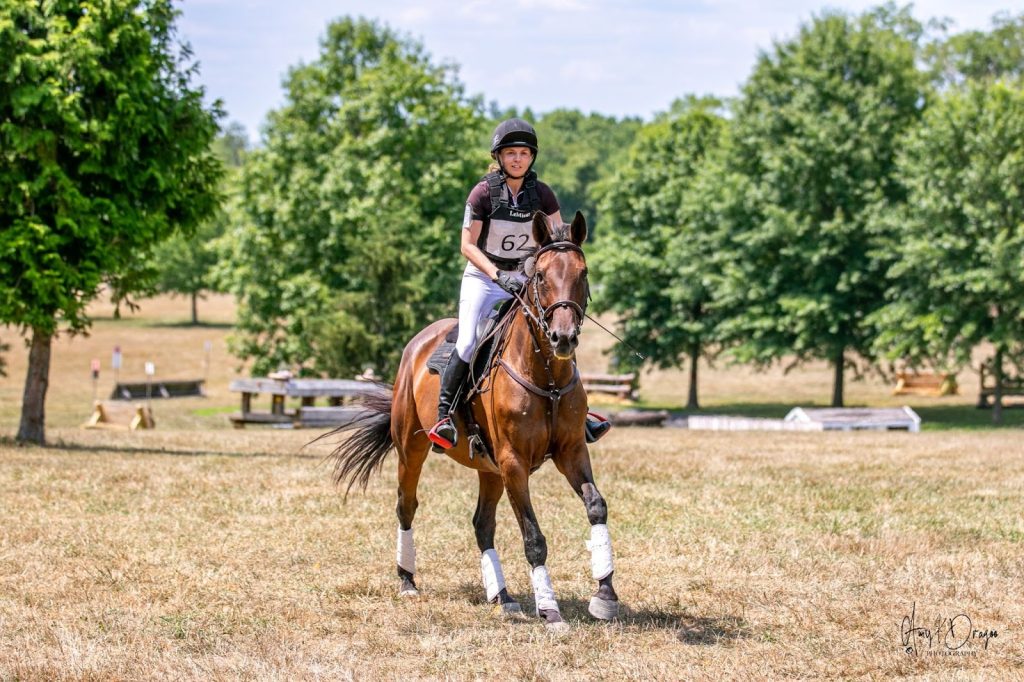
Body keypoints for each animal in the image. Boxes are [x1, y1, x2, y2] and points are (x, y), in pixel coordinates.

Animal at [327, 211, 618, 629]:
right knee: (406, 505)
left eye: (583, 273)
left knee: (482, 524)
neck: (547, 374)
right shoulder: (514, 462)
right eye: (541, 276)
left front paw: (605, 595)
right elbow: (534, 538)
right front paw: (550, 611)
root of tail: (419, 342)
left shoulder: (572, 451)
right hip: (413, 448)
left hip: (489, 467)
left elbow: (596, 506)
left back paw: (503, 597)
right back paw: (408, 580)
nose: (562, 338)